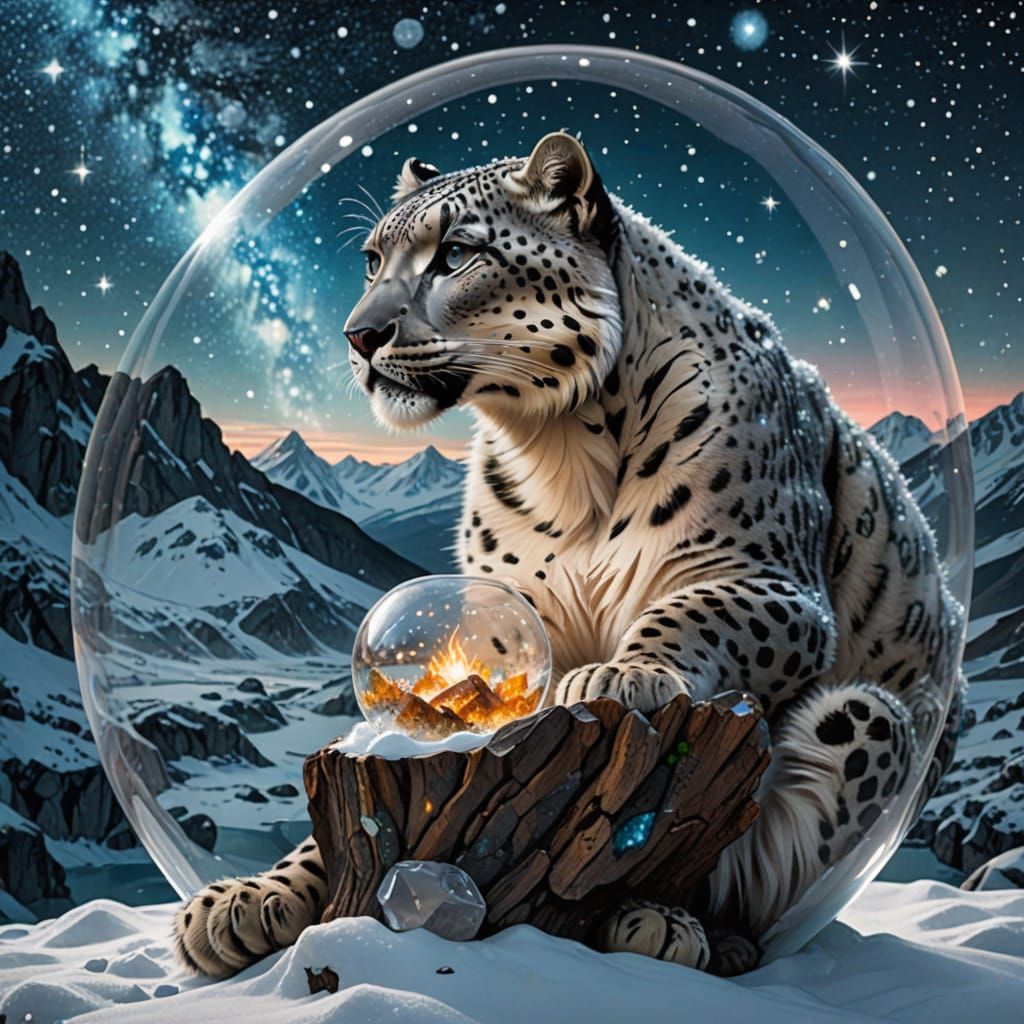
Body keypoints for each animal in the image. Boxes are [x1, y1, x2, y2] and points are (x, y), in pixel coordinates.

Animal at [173, 132, 965, 979]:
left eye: (455, 254)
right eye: (371, 260)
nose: (358, 336)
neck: (557, 454)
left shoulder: (768, 580)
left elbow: (697, 612)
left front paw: (625, 674)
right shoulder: (505, 617)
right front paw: (248, 898)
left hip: (869, 719)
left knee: (749, 887)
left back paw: (666, 920)